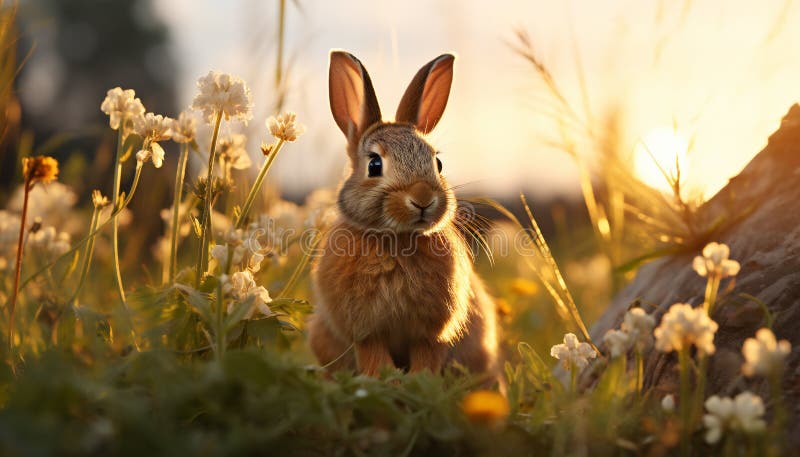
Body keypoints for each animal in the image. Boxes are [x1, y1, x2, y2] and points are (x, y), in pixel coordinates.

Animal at [308, 50, 498, 380]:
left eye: (437, 163)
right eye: (374, 165)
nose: (422, 199)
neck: (396, 241)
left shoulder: (430, 332)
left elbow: (426, 357)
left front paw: (418, 382)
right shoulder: (366, 332)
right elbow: (374, 359)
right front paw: (387, 381)